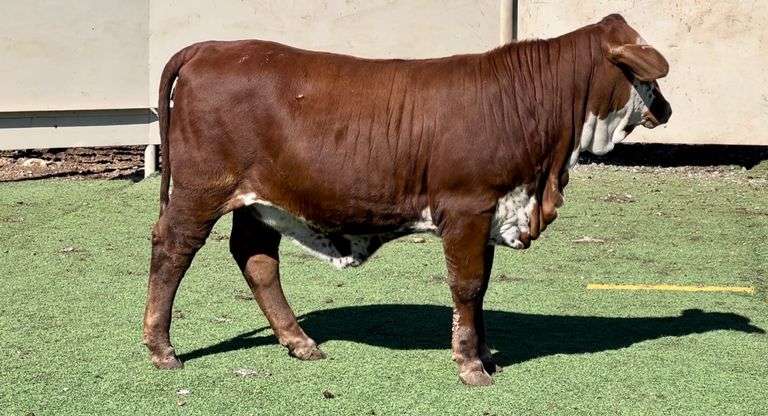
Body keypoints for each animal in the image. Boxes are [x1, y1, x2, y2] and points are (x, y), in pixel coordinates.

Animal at [142, 14, 671, 386]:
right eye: (645, 74)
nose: (666, 109)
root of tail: (212, 47)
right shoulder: (467, 208)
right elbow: (467, 287)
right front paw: (470, 365)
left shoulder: (490, 214)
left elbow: (480, 289)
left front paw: (486, 357)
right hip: (200, 189)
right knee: (172, 249)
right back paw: (162, 349)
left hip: (260, 202)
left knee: (256, 259)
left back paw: (299, 341)